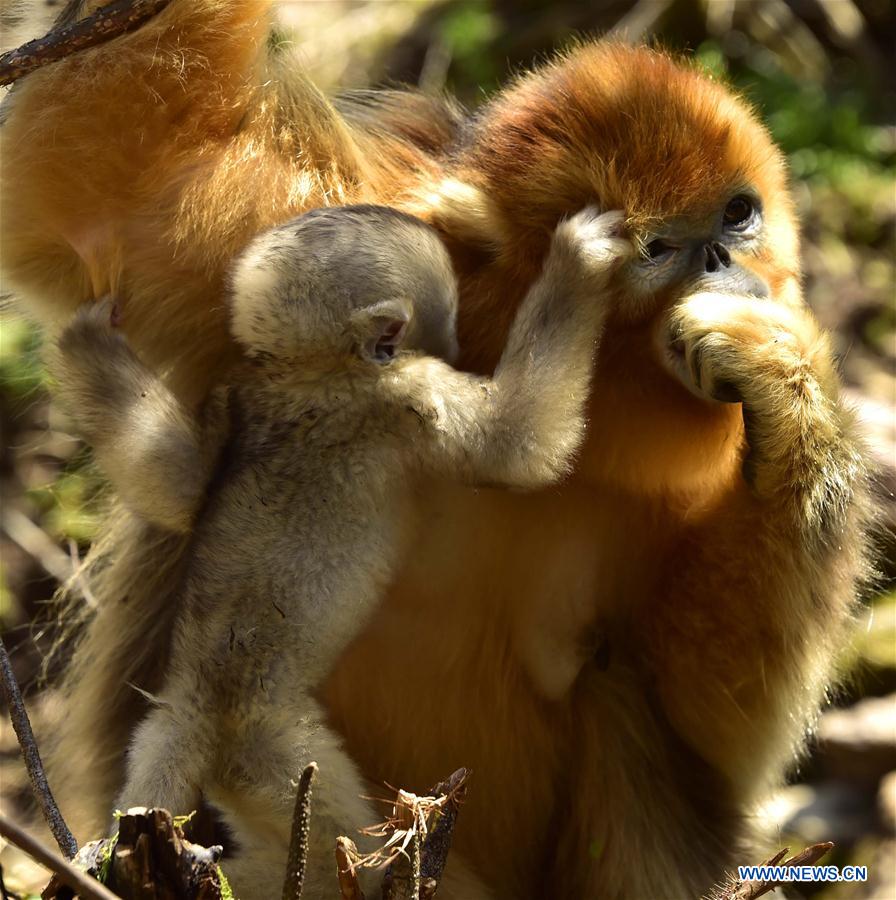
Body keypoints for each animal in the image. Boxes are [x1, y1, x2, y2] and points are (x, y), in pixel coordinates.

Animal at [50, 203, 631, 897]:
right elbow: (517, 445)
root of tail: (198, 711)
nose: (457, 341)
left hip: (168, 738)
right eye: (446, 319)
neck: (308, 370)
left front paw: (89, 340)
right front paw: (580, 259)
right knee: (336, 851)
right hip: (276, 756)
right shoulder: (407, 391)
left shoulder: (232, 390)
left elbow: (178, 489)